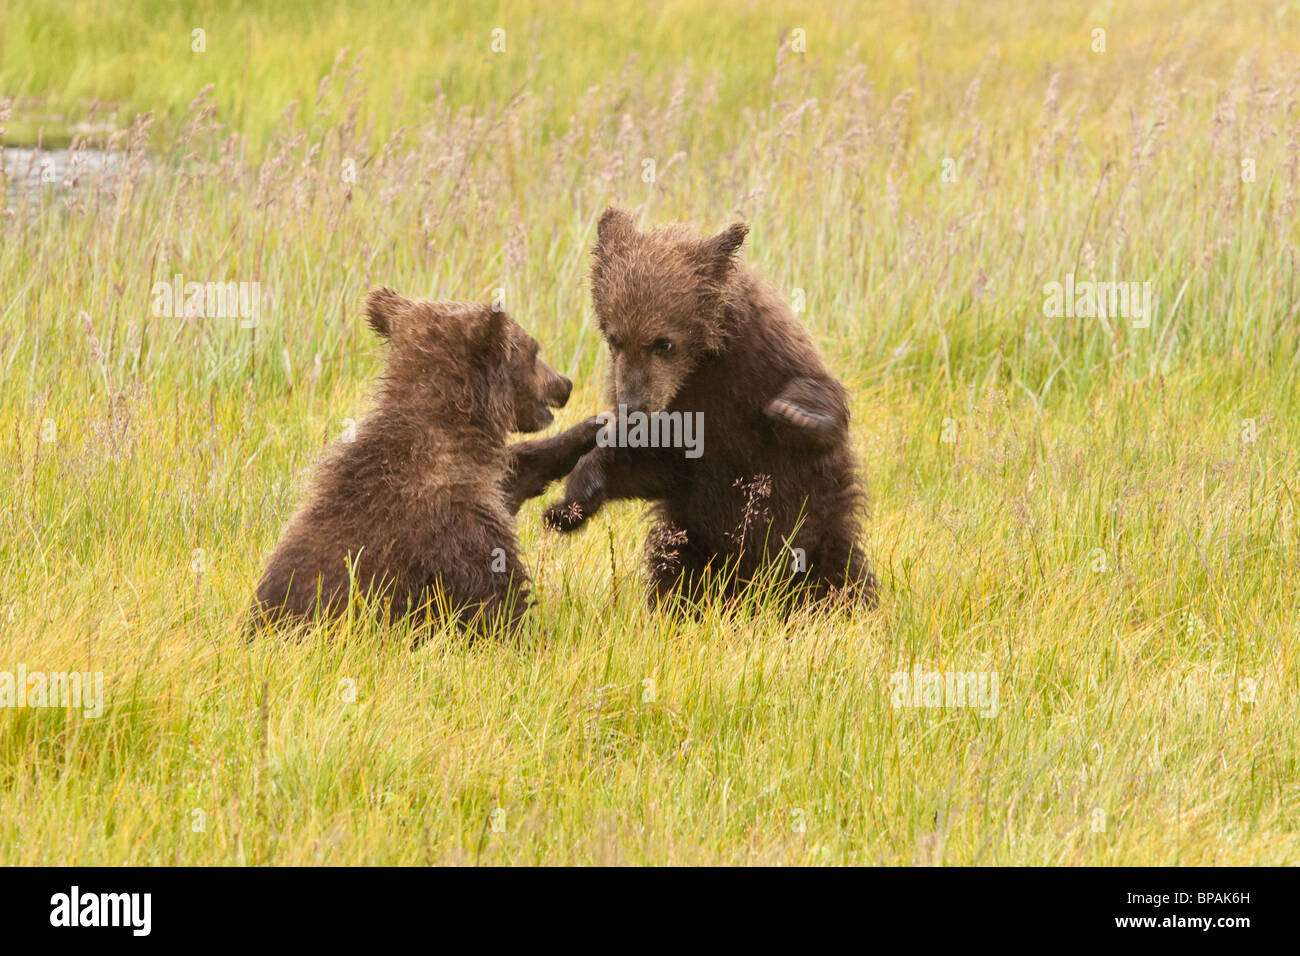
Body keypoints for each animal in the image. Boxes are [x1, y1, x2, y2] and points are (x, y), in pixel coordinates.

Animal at [252, 287, 601, 632]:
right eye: (534, 351)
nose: (565, 383)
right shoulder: (451, 523)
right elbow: (495, 601)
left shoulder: (483, 482)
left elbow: (521, 471)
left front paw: (592, 428)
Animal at [543, 207, 876, 610]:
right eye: (614, 339)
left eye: (664, 342)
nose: (632, 405)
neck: (702, 365)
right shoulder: (682, 424)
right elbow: (653, 464)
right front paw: (569, 502)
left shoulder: (762, 358)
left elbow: (819, 412)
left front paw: (798, 411)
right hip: (690, 540)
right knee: (674, 576)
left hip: (820, 532)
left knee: (841, 578)